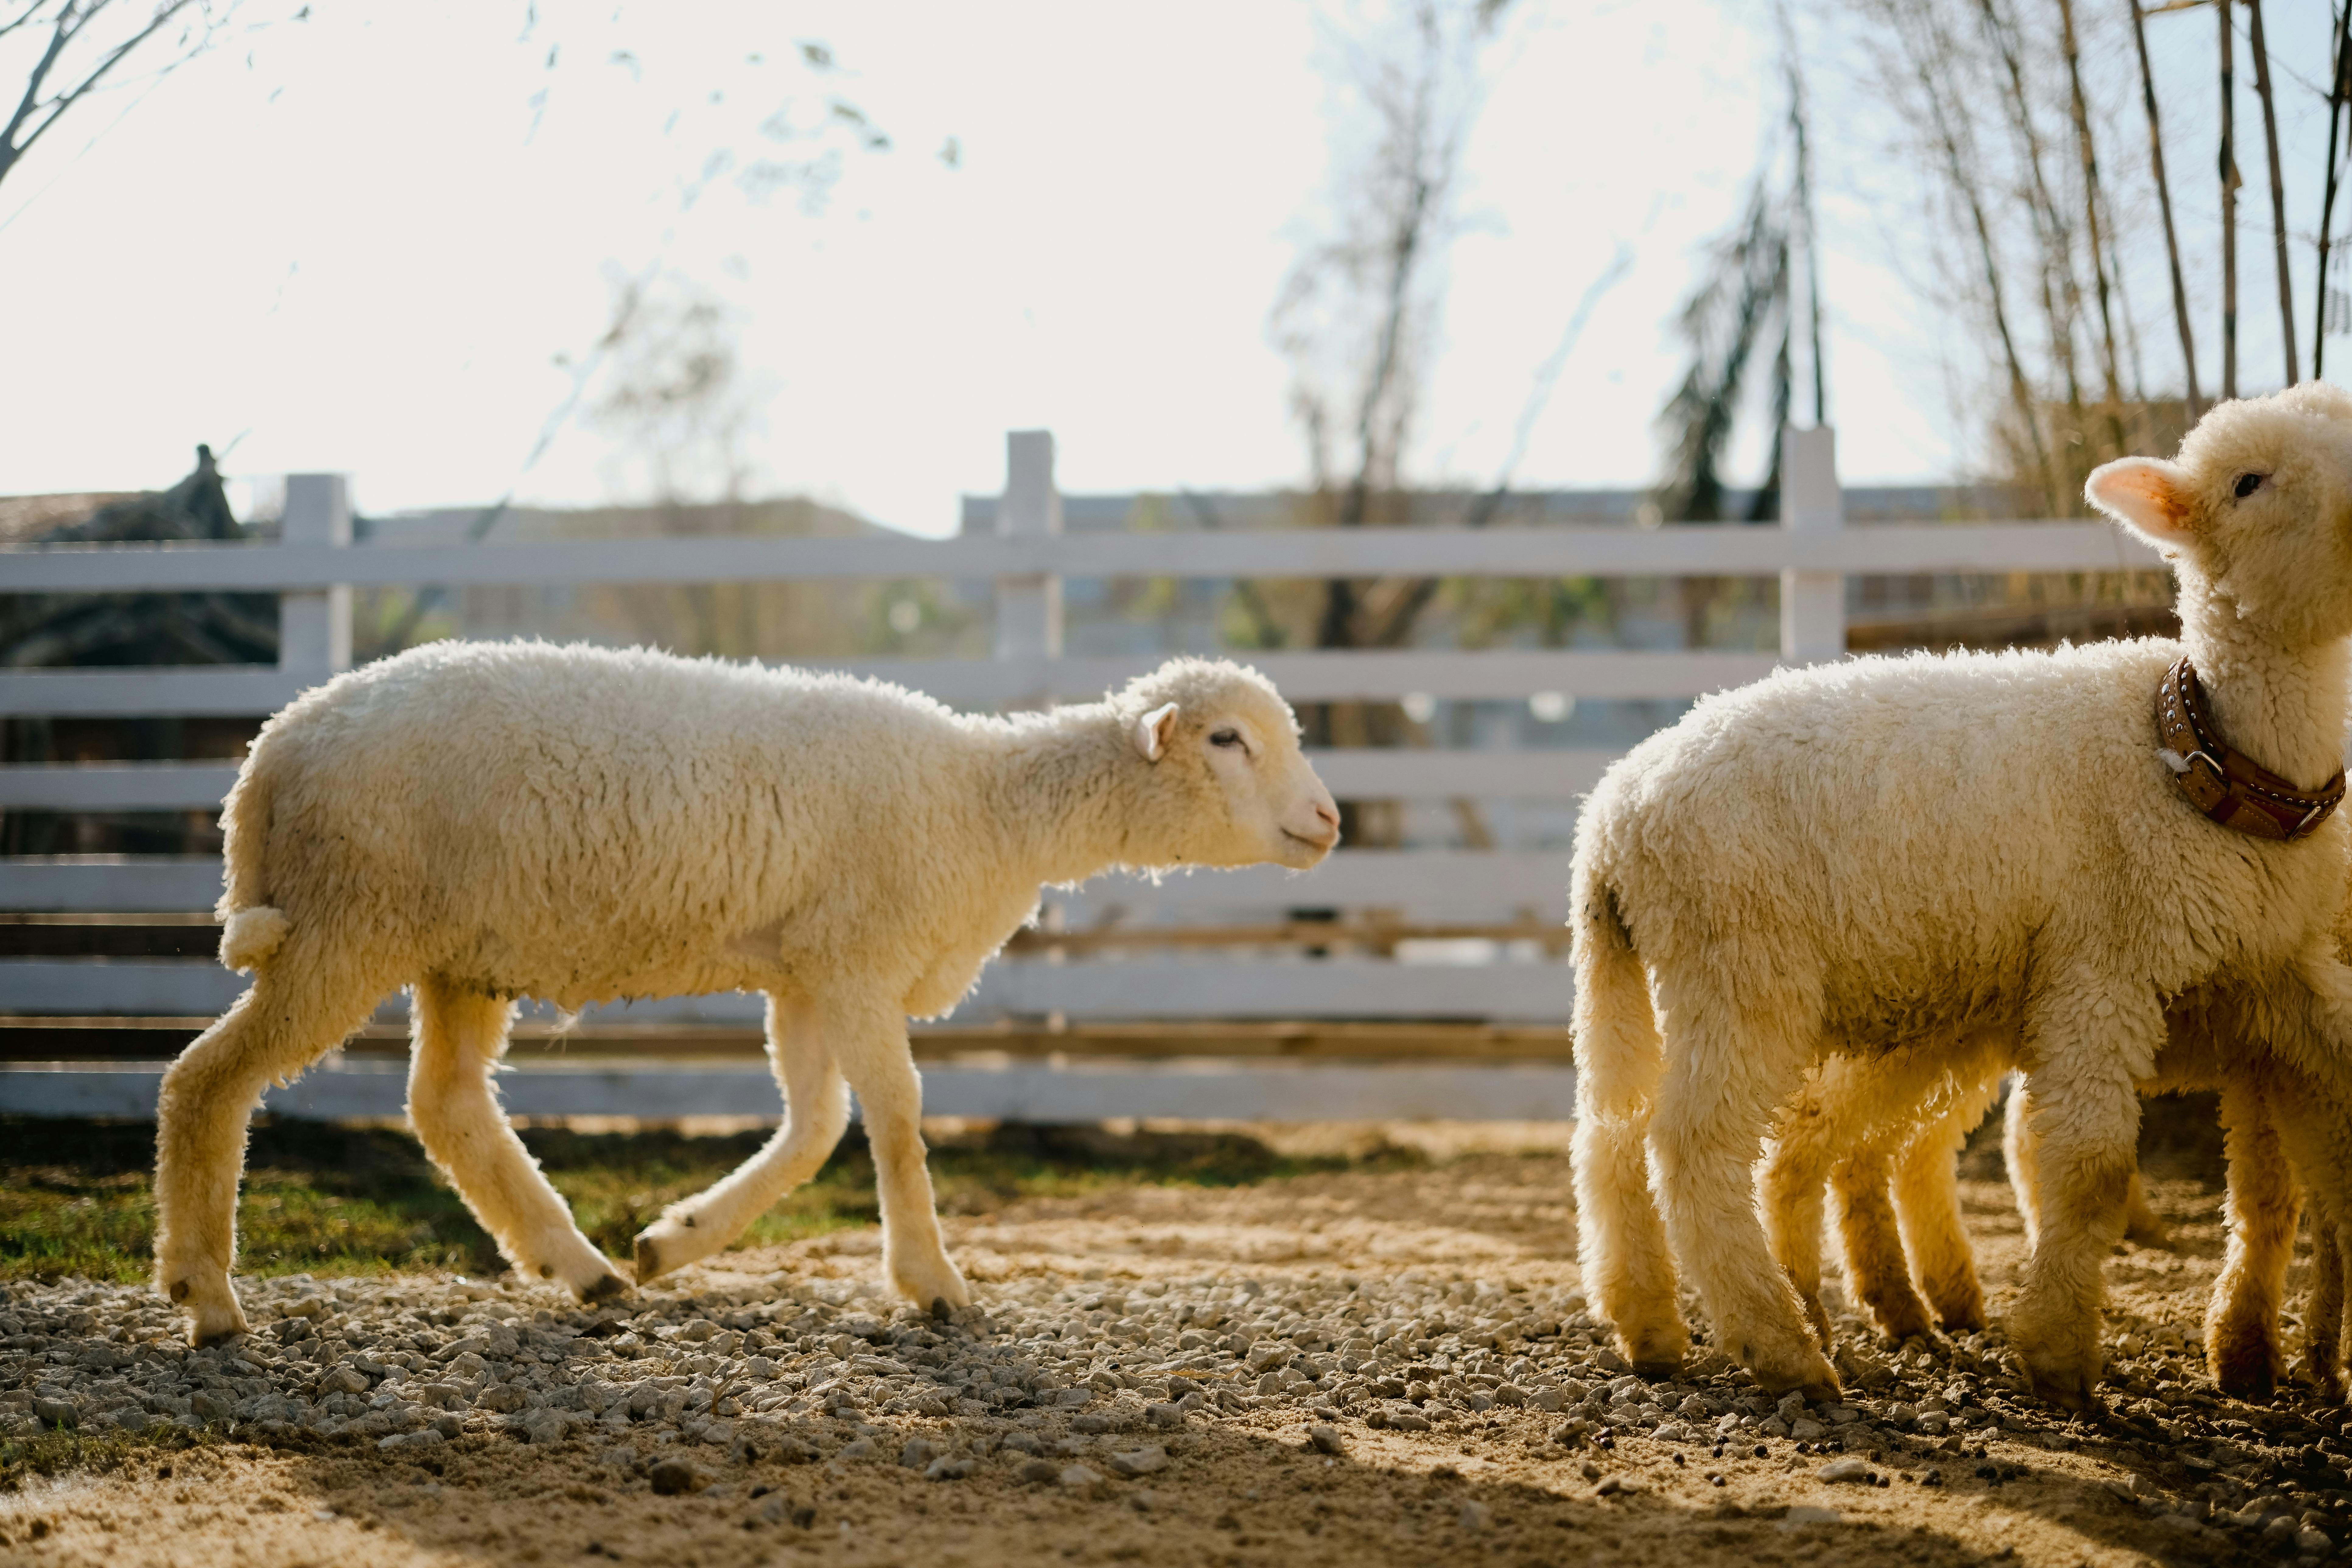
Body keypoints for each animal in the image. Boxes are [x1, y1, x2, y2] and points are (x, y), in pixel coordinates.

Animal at [153, 643, 1340, 1346]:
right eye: (1227, 739)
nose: (1328, 821)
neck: (983, 805)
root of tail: (273, 749)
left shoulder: (809, 966)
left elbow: (814, 1127)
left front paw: (674, 1238)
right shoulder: (857, 958)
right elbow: (895, 1118)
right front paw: (932, 1282)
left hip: (456, 950)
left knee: (445, 1106)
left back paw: (586, 1269)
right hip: (348, 921)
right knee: (204, 1083)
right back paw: (207, 1297)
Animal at [1571, 384, 2352, 1406]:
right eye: (2247, 482)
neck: (2204, 755)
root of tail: (1613, 814)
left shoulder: (2282, 977)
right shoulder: (2101, 968)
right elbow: (2088, 1166)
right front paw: (2057, 1354)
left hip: (1671, 978)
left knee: (1614, 1141)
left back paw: (1651, 1326)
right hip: (1740, 964)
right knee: (1692, 1148)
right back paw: (1781, 1344)